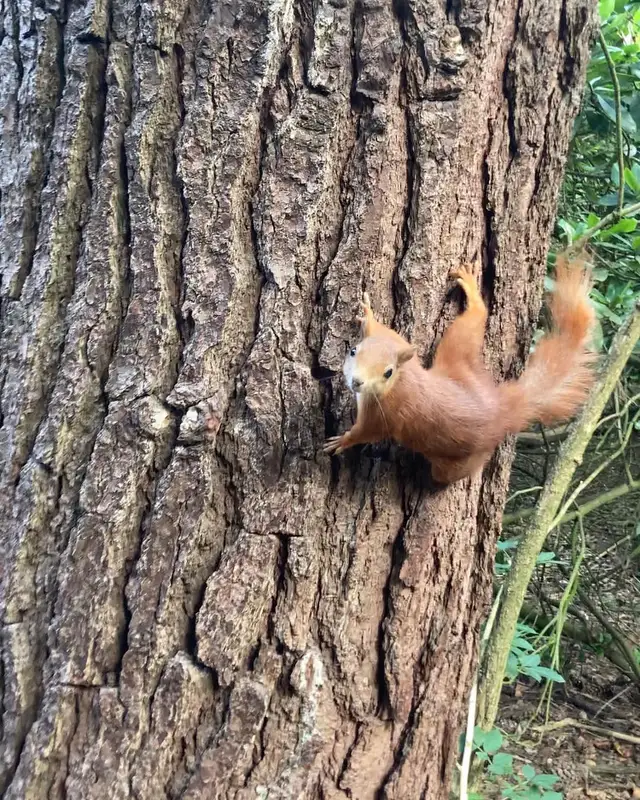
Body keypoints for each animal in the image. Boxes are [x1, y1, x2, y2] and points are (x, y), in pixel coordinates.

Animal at [324, 259, 596, 484]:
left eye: (388, 372)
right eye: (353, 351)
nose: (357, 382)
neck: (402, 380)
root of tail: (501, 408)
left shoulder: (385, 415)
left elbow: (367, 433)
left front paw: (342, 441)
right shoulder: (399, 346)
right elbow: (388, 332)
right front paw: (368, 315)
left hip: (458, 462)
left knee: (451, 474)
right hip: (458, 358)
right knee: (473, 322)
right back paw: (472, 293)